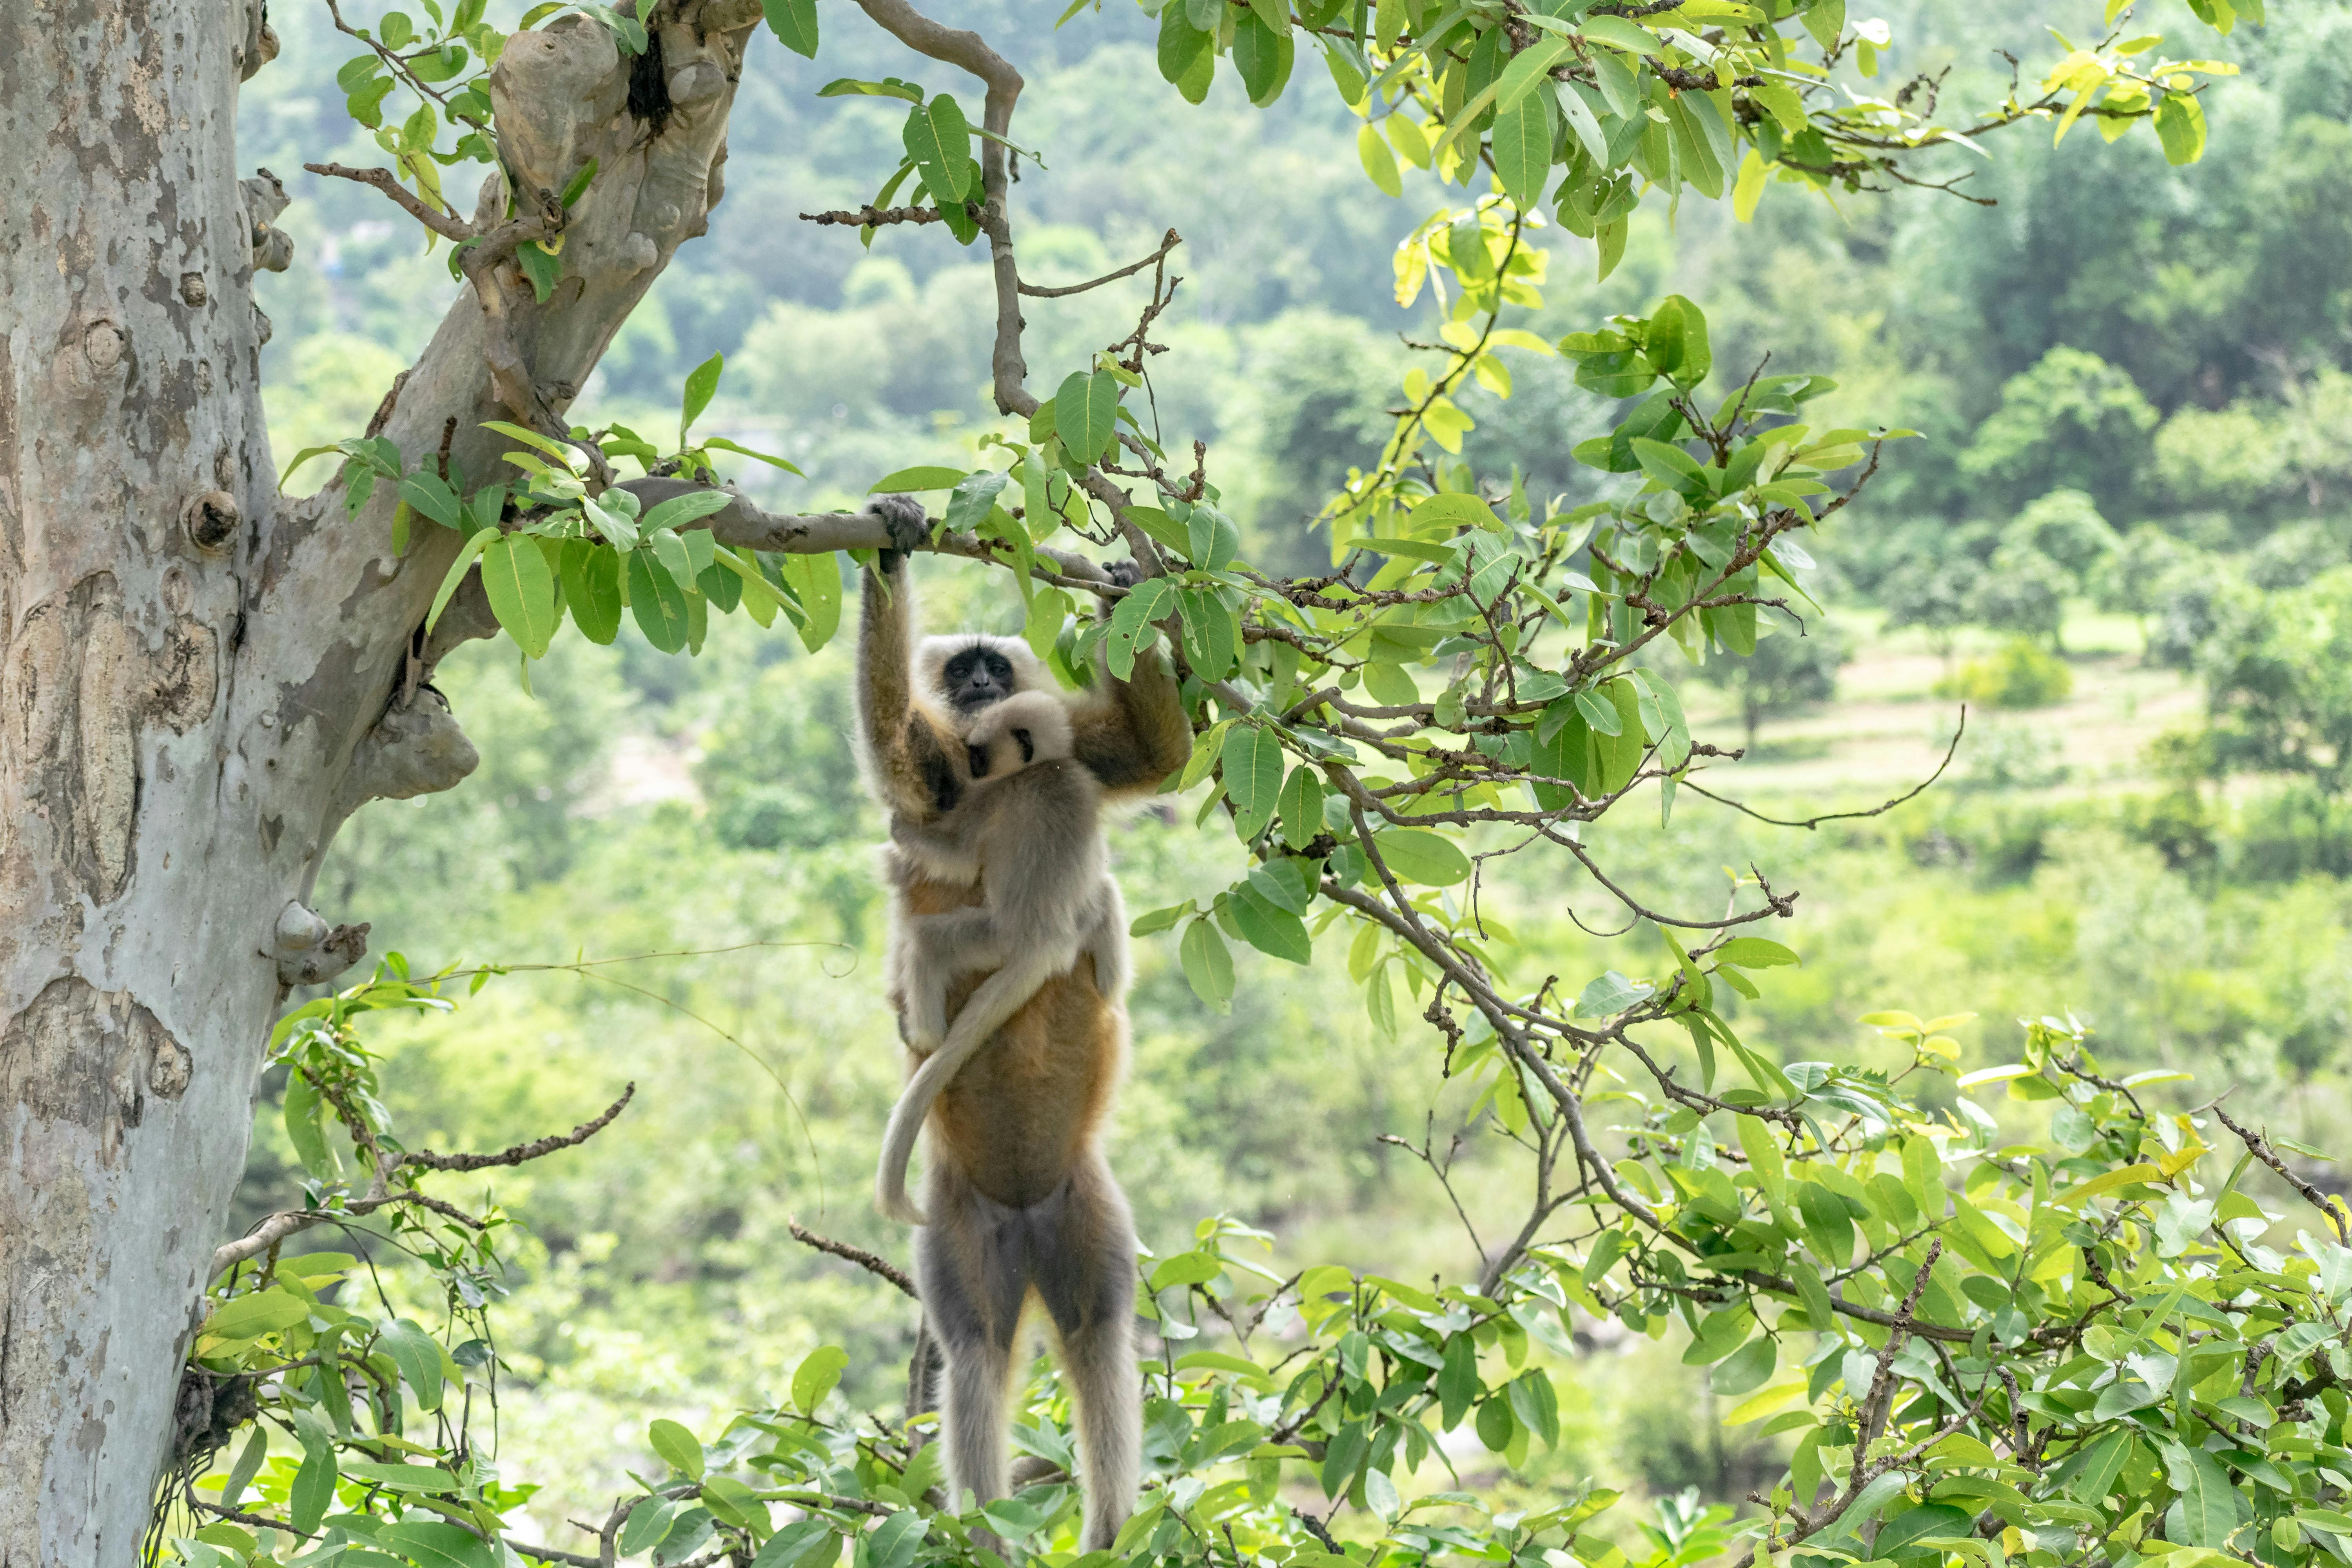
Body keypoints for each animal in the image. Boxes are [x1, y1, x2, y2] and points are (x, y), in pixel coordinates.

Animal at [853, 495, 1191, 1553]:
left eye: (993, 669)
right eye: (962, 669)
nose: (975, 686)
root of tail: (1026, 1208)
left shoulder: (1059, 749)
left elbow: (1159, 759)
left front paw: (1127, 587)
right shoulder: (943, 773)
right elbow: (898, 751)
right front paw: (888, 544)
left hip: (1085, 1206)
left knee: (1098, 1329)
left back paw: (1111, 1523)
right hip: (962, 1221)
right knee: (977, 1348)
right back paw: (991, 1529)